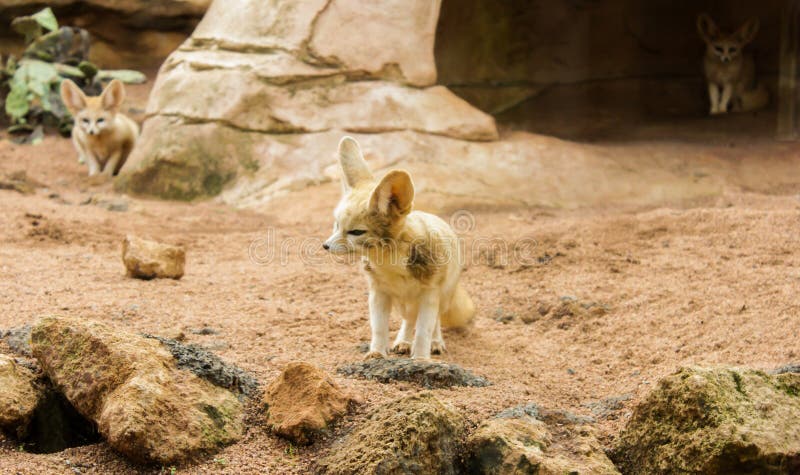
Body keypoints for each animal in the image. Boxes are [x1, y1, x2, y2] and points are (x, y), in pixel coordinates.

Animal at [323, 137, 475, 360]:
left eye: (356, 232)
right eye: (336, 225)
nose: (325, 246)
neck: (390, 263)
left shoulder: (429, 295)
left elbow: (423, 331)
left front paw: (420, 360)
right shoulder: (378, 293)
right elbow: (379, 328)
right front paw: (376, 353)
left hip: (442, 298)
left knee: (434, 322)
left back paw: (436, 342)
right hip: (405, 303)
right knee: (409, 319)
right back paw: (403, 341)